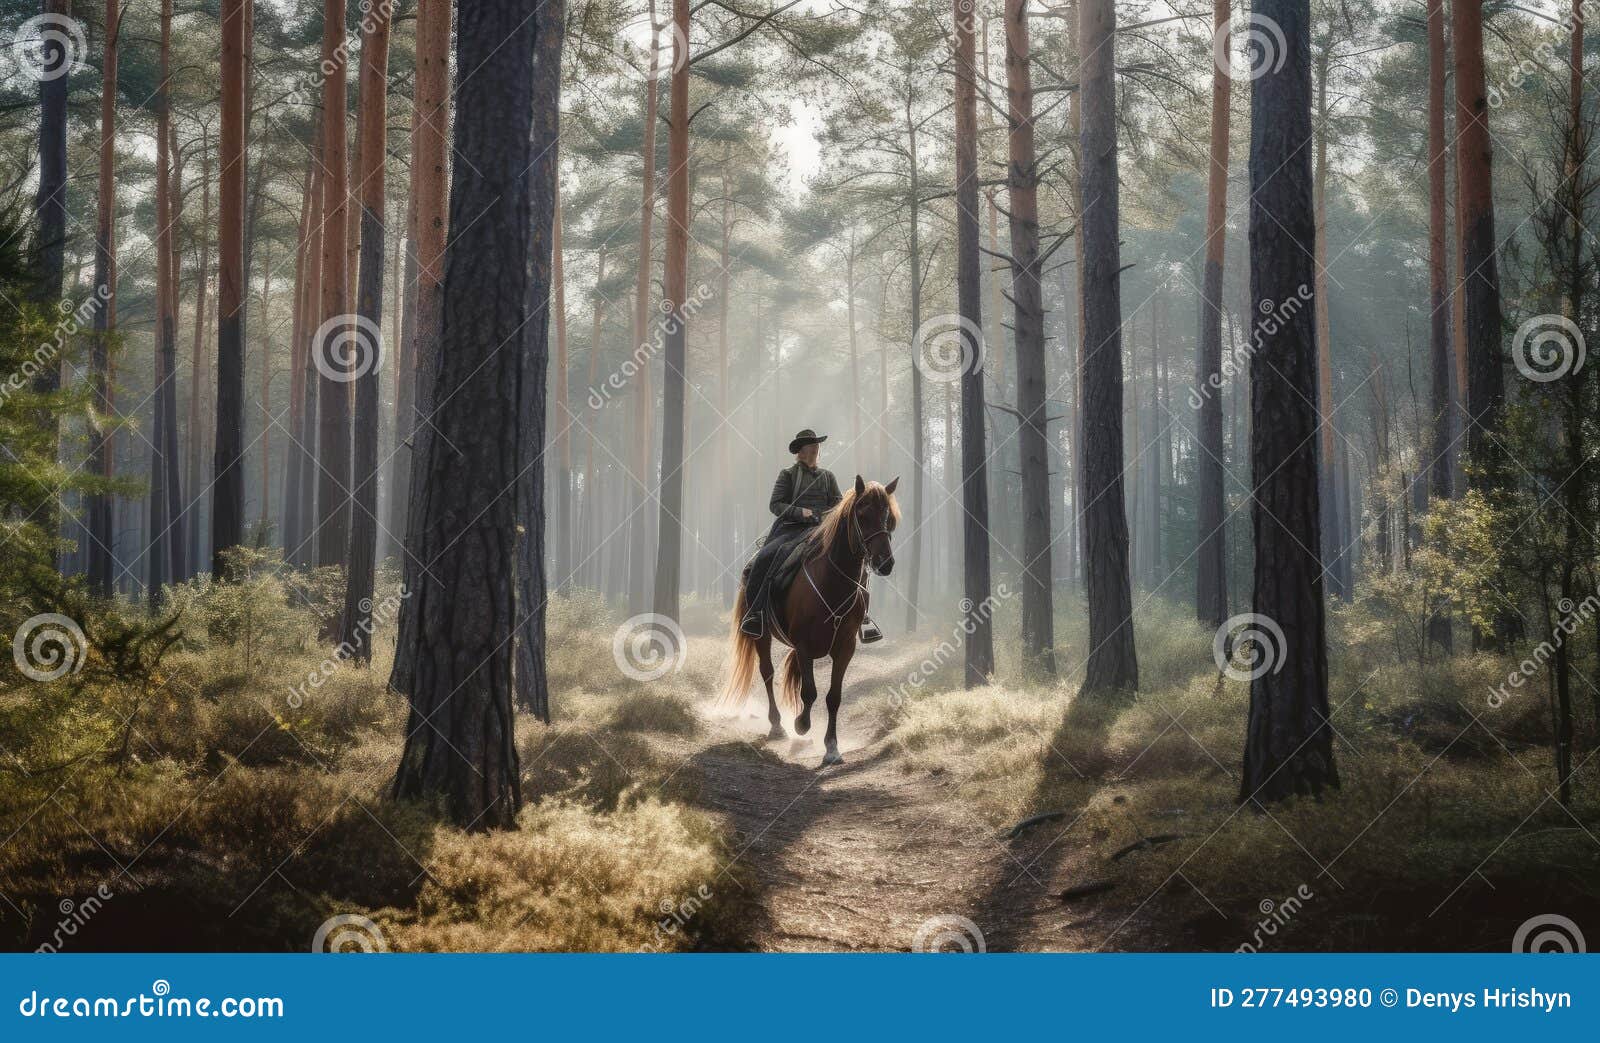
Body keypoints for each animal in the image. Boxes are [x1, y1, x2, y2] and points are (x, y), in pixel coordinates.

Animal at [721, 476, 900, 767]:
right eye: (862, 515)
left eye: (888, 517)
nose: (885, 563)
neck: (832, 582)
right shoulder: (804, 645)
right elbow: (809, 692)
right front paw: (801, 724)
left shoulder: (844, 648)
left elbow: (833, 697)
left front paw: (832, 748)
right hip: (762, 635)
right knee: (768, 672)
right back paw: (777, 726)